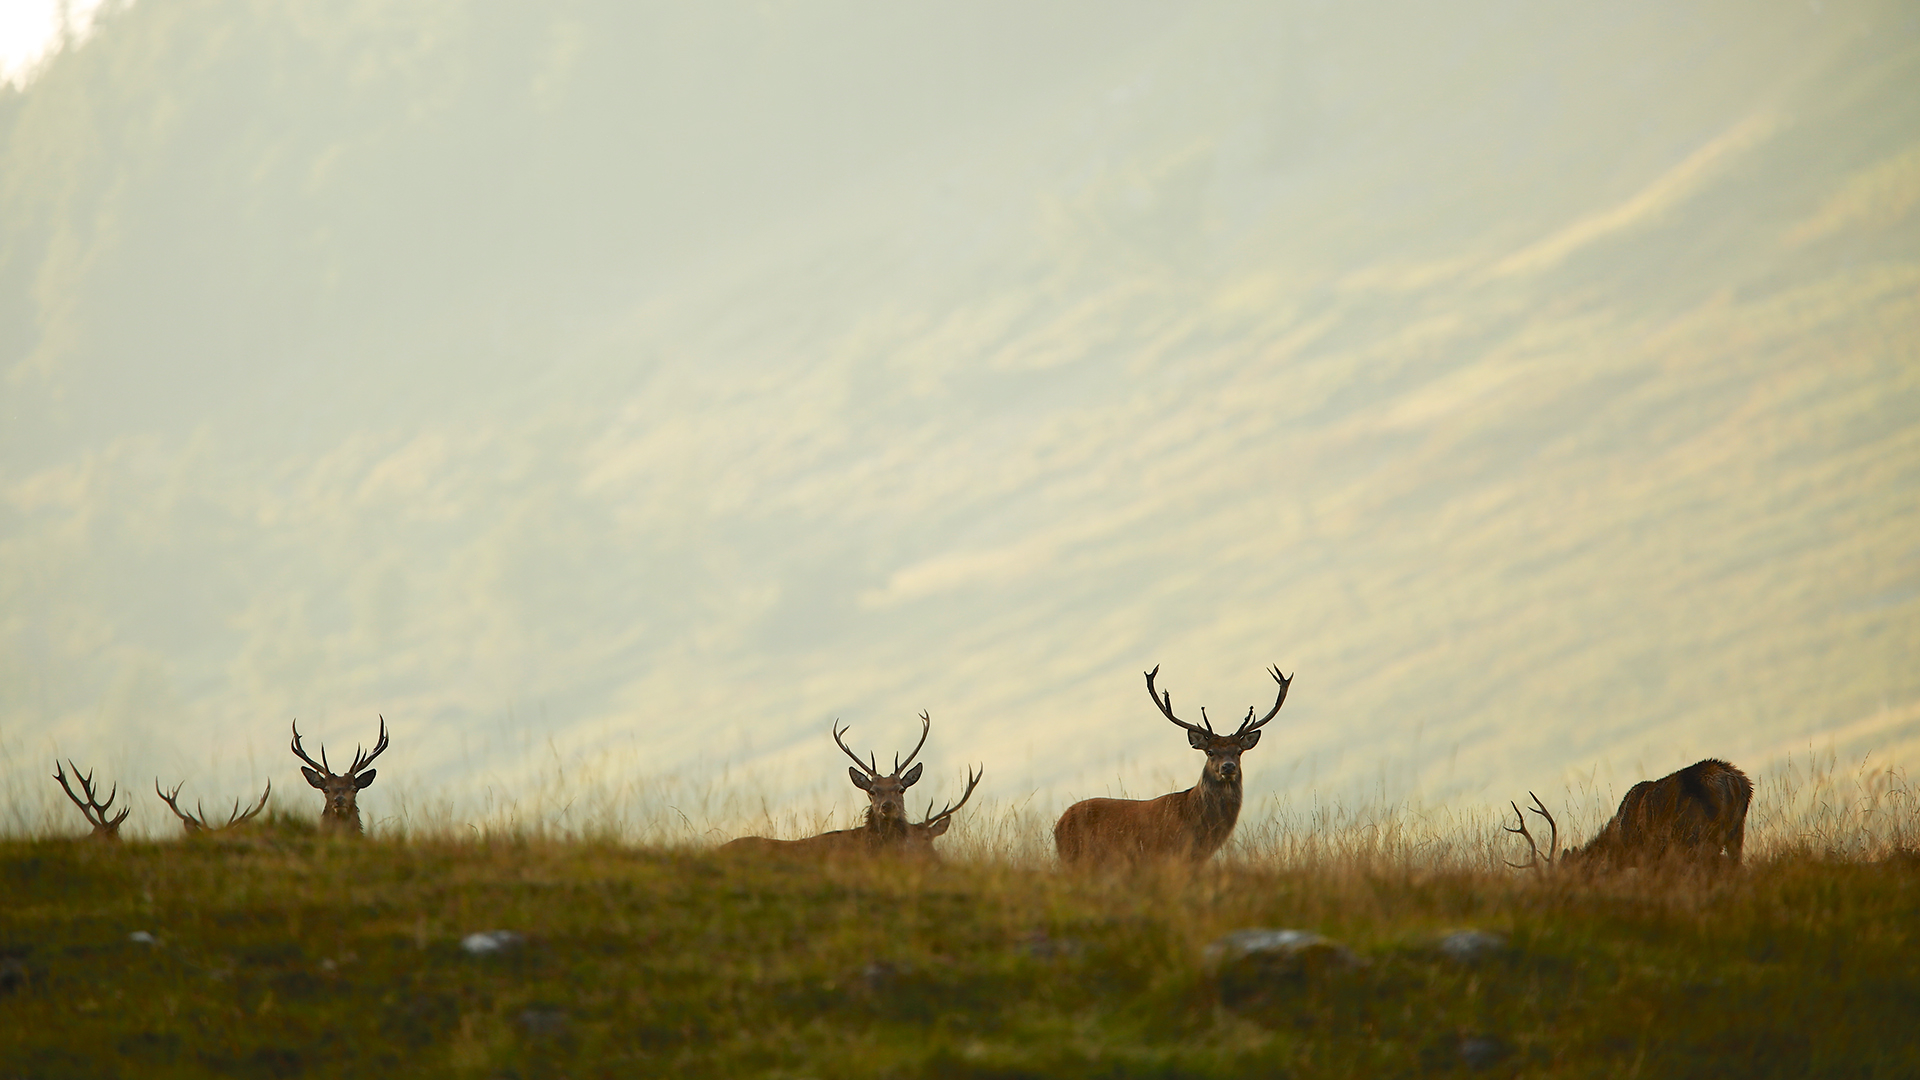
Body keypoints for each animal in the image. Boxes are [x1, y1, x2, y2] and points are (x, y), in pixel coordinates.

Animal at [1054, 664, 1291, 867]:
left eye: (1239, 751)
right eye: (1210, 752)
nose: (1228, 767)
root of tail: (1058, 824)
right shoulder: (1170, 853)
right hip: (1076, 856)